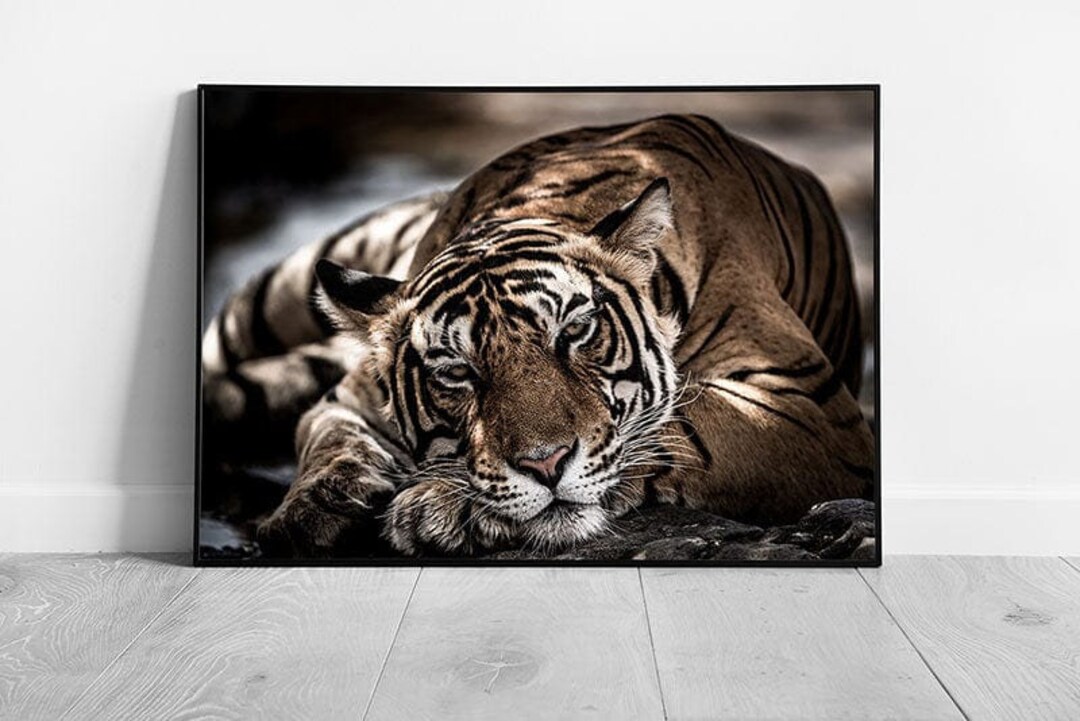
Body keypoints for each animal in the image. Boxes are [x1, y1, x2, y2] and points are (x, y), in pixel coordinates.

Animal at [204, 113, 875, 558]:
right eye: (457, 372)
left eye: (575, 332)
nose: (546, 465)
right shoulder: (349, 395)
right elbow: (325, 437)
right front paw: (312, 507)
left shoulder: (809, 405)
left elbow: (685, 426)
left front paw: (443, 506)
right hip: (287, 286)